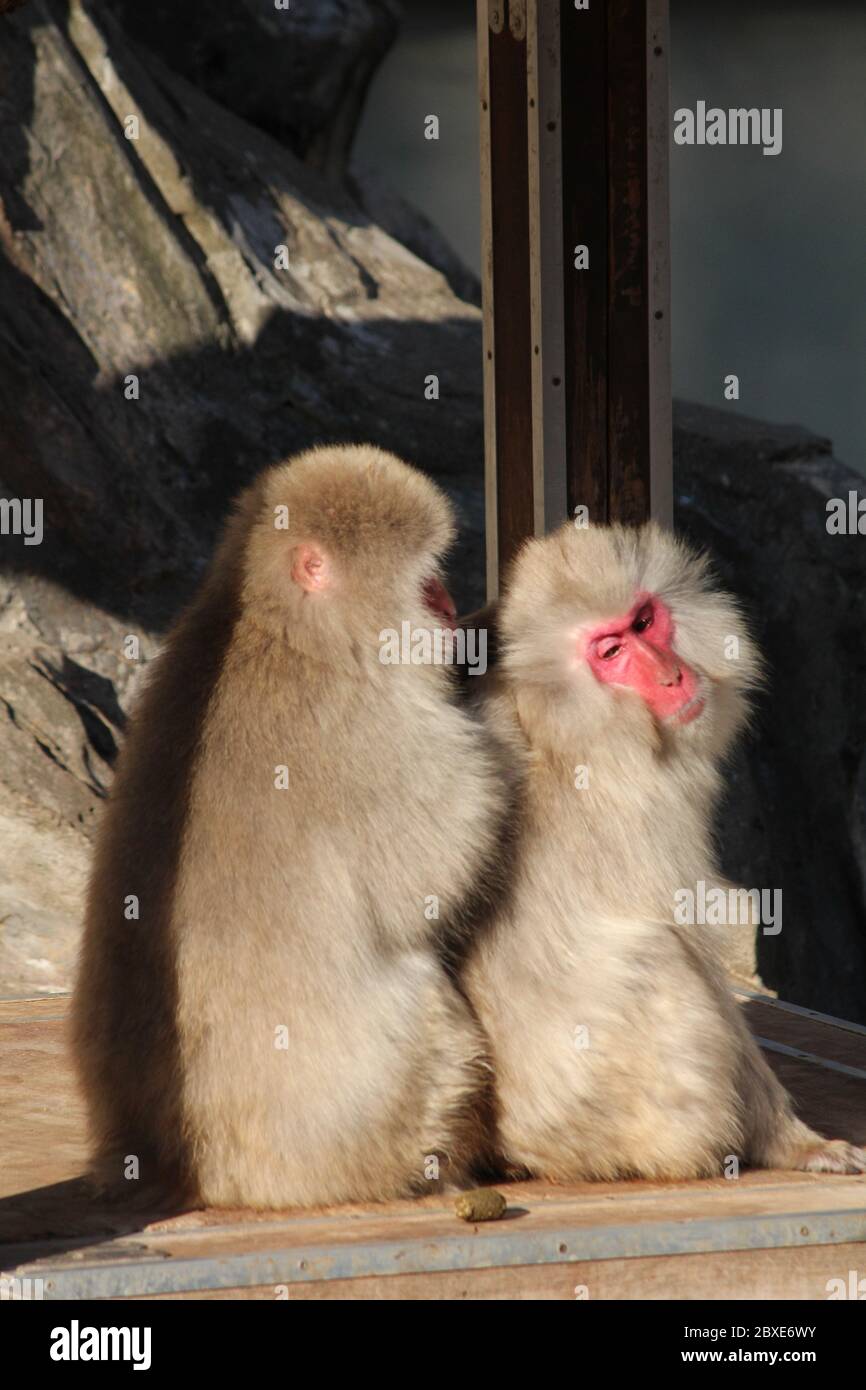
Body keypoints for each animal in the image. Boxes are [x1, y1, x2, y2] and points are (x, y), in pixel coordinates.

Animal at [72, 444, 511, 1210]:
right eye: (428, 582)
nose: (451, 607)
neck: (287, 627)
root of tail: (177, 1164)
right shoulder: (372, 728)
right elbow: (432, 870)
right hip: (369, 1122)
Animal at [461, 521, 866, 1181]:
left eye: (645, 621)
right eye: (609, 653)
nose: (674, 676)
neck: (560, 724)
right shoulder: (648, 800)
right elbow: (693, 949)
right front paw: (795, 1143)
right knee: (663, 957)